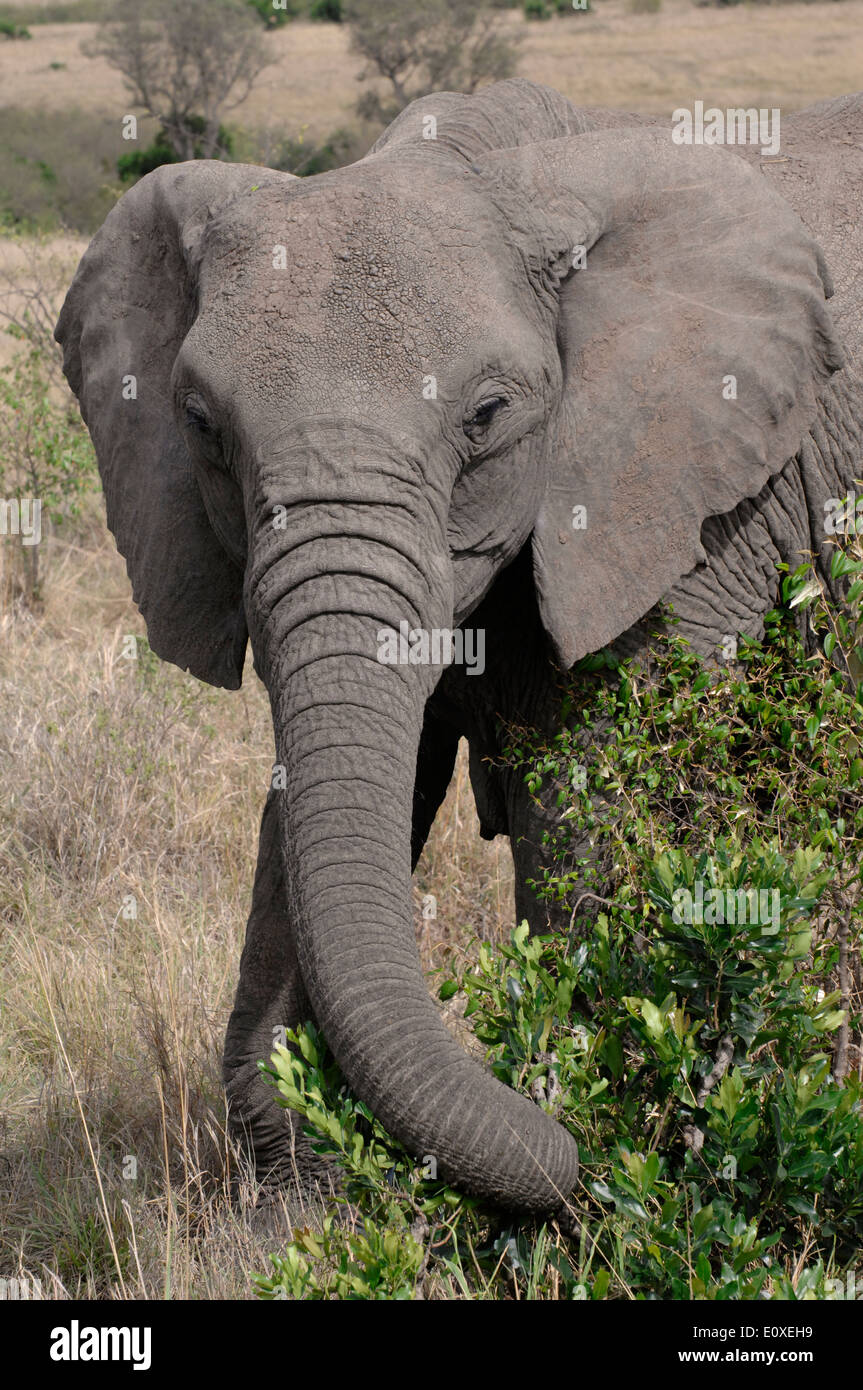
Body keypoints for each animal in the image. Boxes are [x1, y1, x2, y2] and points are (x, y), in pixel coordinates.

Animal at [54, 79, 863, 1217]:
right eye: (200, 423)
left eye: (485, 416)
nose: (565, 1159)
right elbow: (351, 787)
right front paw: (297, 1204)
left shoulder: (697, 514)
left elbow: (590, 800)